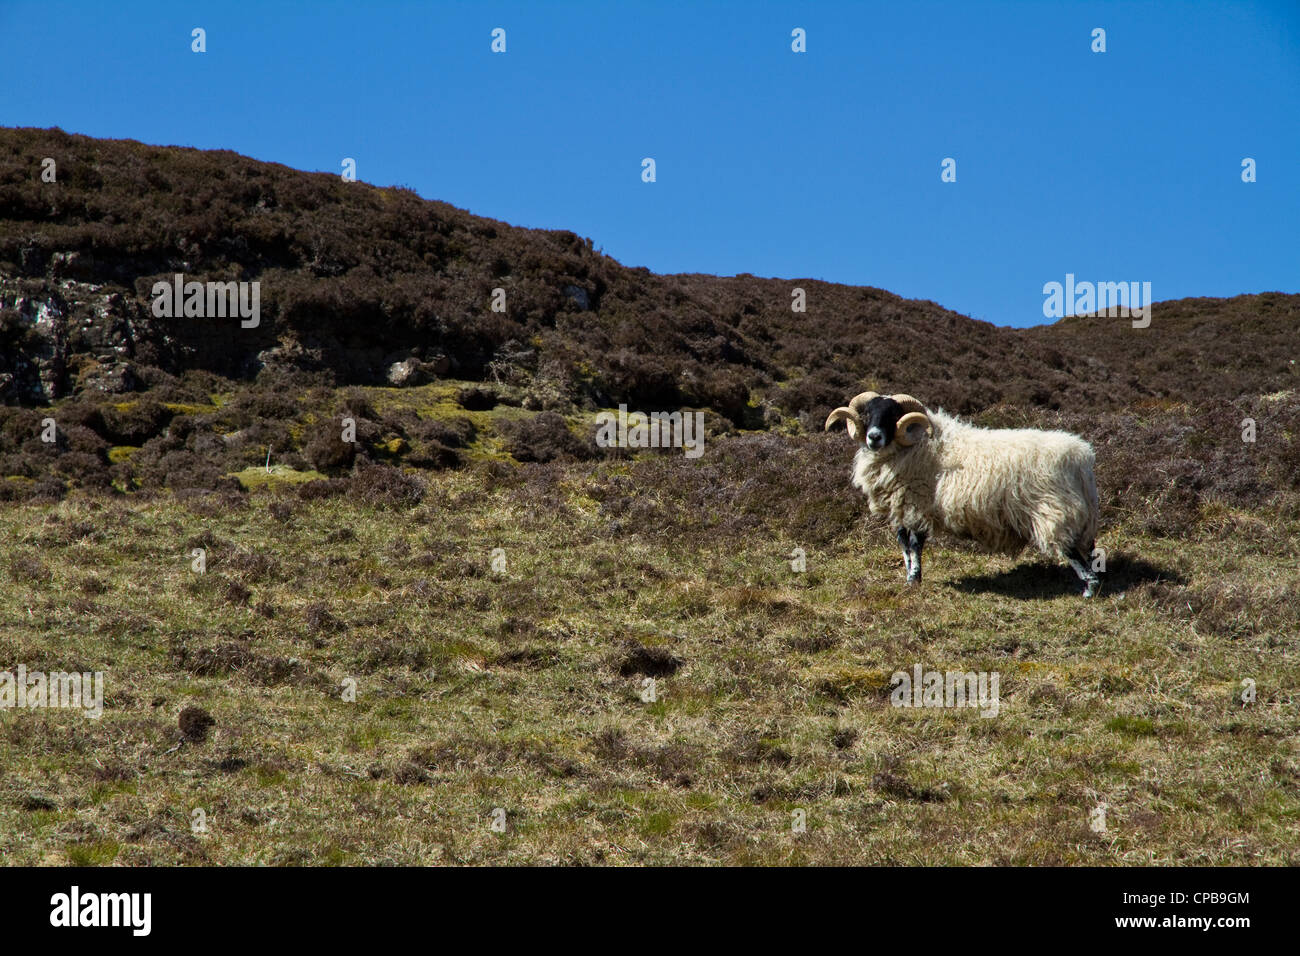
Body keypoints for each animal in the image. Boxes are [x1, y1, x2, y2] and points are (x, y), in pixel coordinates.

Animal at [825, 391, 1101, 597]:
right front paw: (909, 577)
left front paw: (915, 580)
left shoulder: (919, 505)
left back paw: (1090, 589)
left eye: (893, 415)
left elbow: (915, 544)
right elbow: (903, 543)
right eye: (868, 414)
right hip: (1080, 514)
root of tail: (1081, 458)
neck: (917, 444)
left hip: (1054, 510)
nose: (873, 437)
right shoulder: (901, 508)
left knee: (1071, 551)